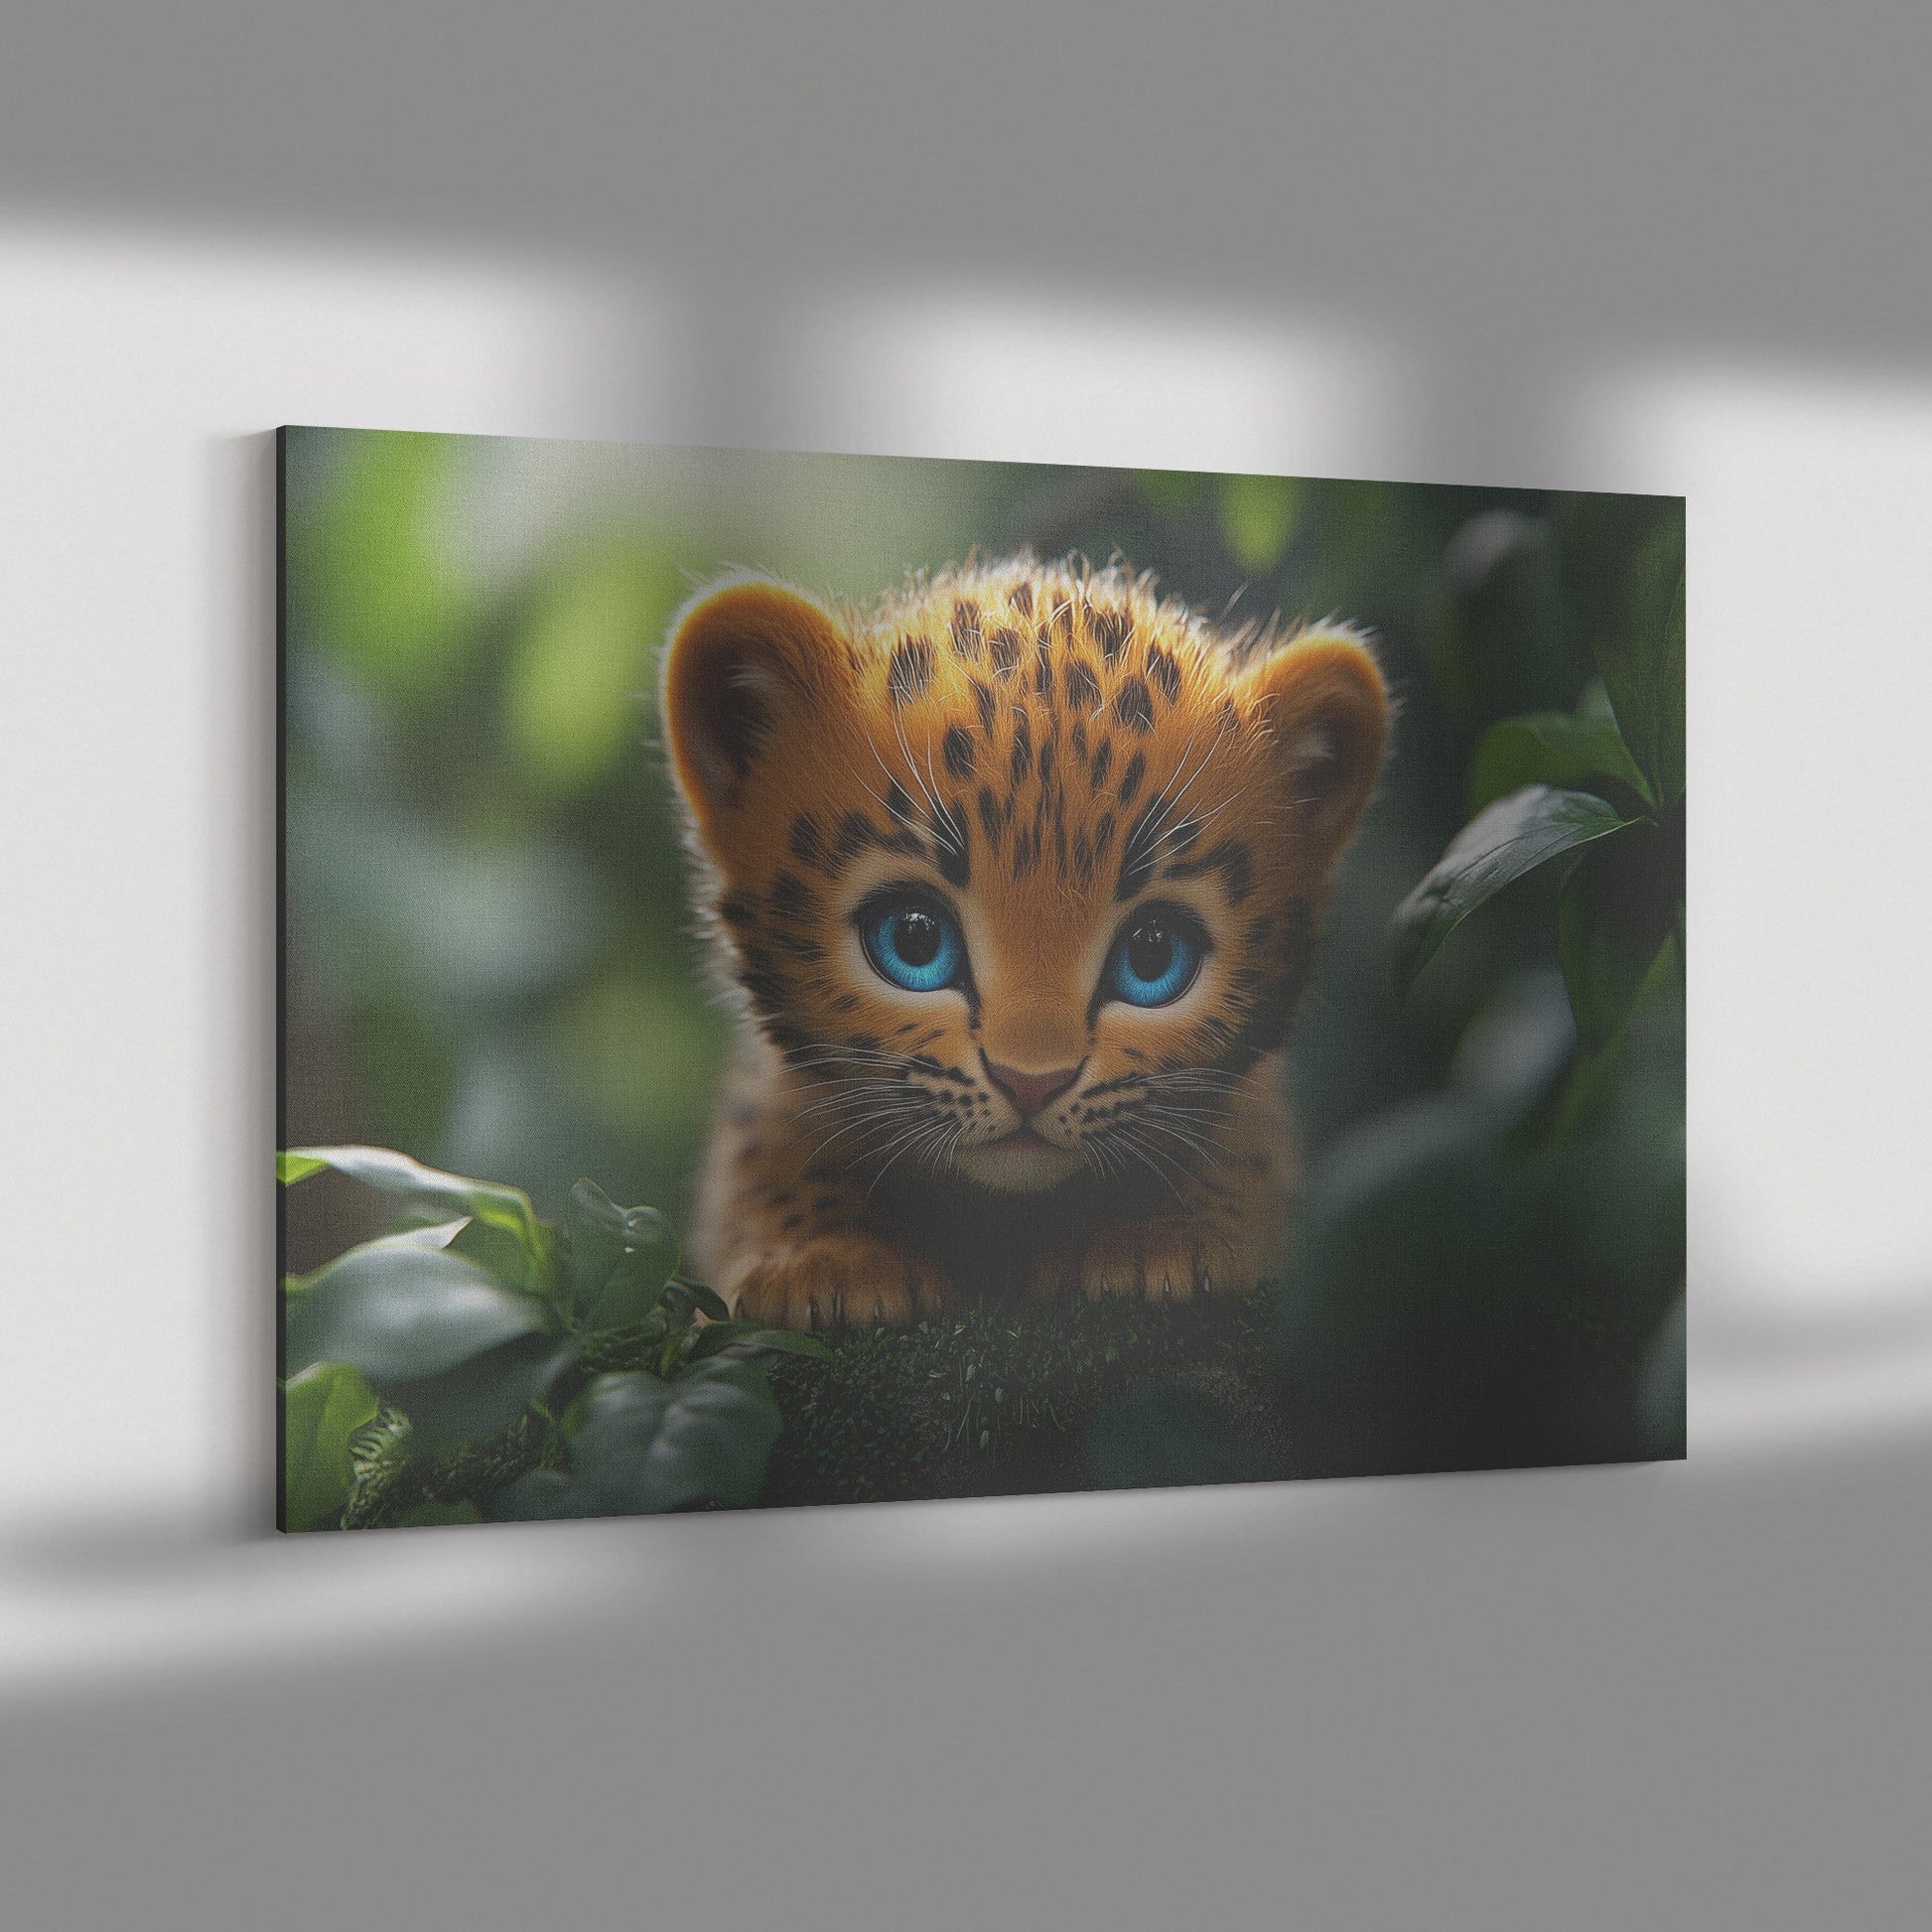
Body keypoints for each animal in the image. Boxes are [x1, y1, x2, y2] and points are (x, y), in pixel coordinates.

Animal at [659, 553, 1389, 1331]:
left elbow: (1236, 1156)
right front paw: (823, 1259)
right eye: (914, 941)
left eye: (1153, 956)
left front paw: (1158, 1239)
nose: (1030, 1082)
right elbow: (771, 1156)